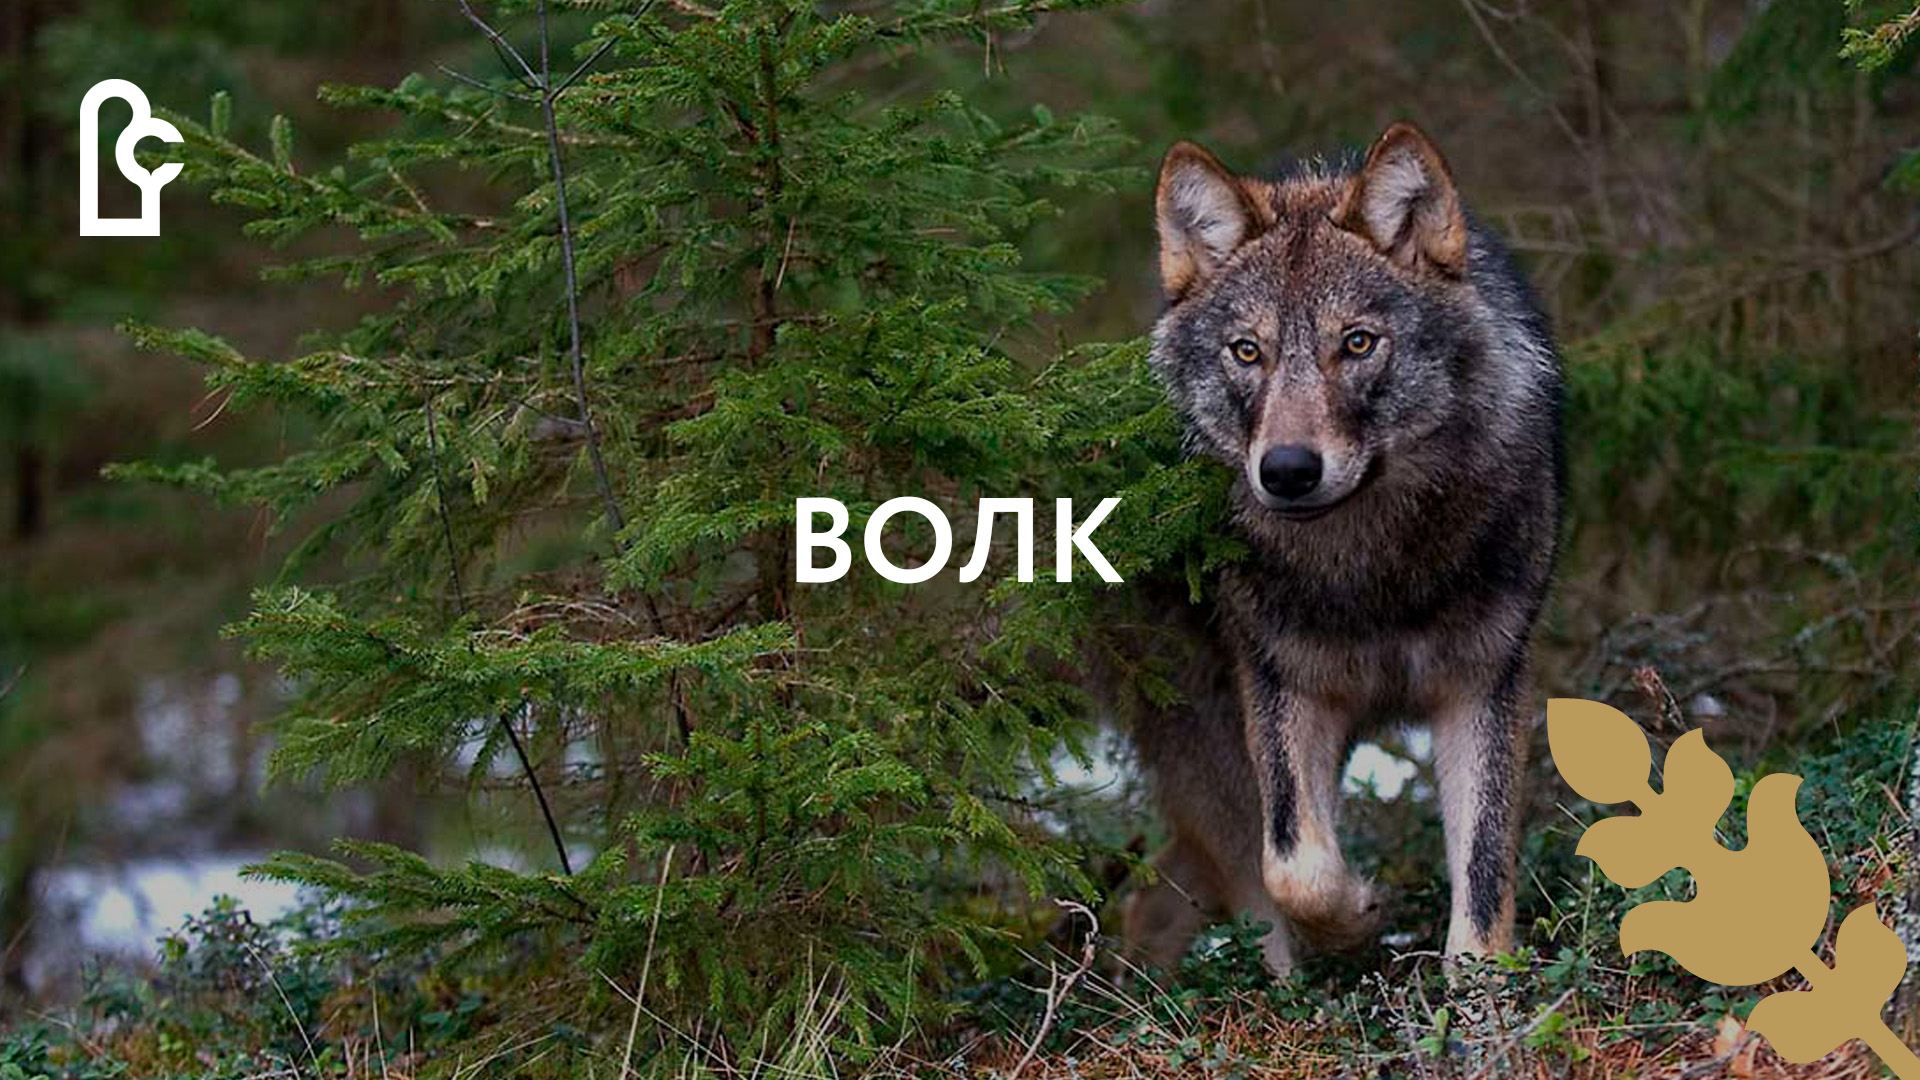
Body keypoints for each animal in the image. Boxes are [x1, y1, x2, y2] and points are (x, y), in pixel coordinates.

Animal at [1123, 122, 1563, 974]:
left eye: (1357, 344)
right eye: (1248, 352)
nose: (1288, 470)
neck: (1373, 572)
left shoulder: (1485, 681)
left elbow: (1485, 865)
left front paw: (1479, 989)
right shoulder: (1281, 683)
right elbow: (1296, 865)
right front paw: (1360, 917)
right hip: (1218, 745)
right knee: (1233, 882)